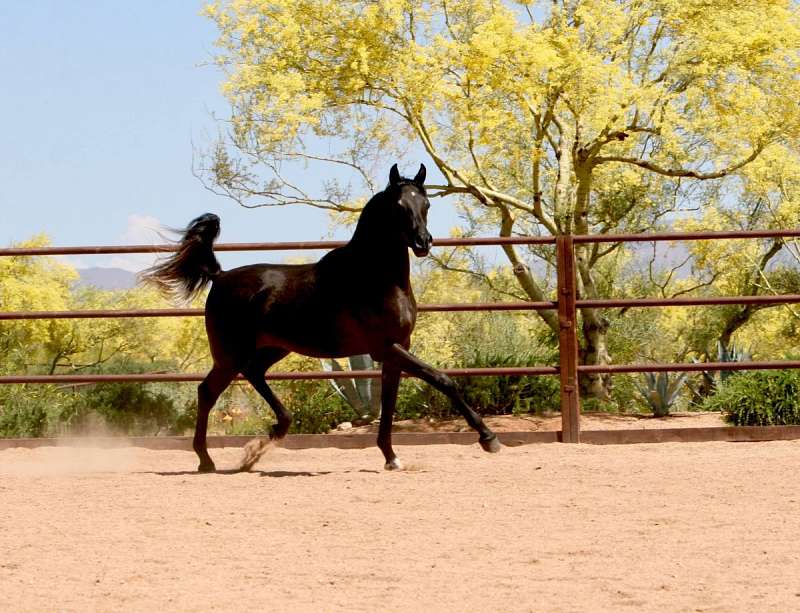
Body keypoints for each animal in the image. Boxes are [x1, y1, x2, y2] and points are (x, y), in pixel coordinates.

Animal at [143, 163, 501, 472]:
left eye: (425, 203)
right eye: (399, 205)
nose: (423, 242)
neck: (374, 277)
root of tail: (220, 277)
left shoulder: (397, 349)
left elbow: (389, 403)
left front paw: (391, 457)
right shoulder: (384, 348)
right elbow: (443, 379)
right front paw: (489, 439)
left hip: (272, 348)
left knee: (253, 374)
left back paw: (270, 436)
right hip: (230, 355)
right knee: (207, 392)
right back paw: (207, 460)